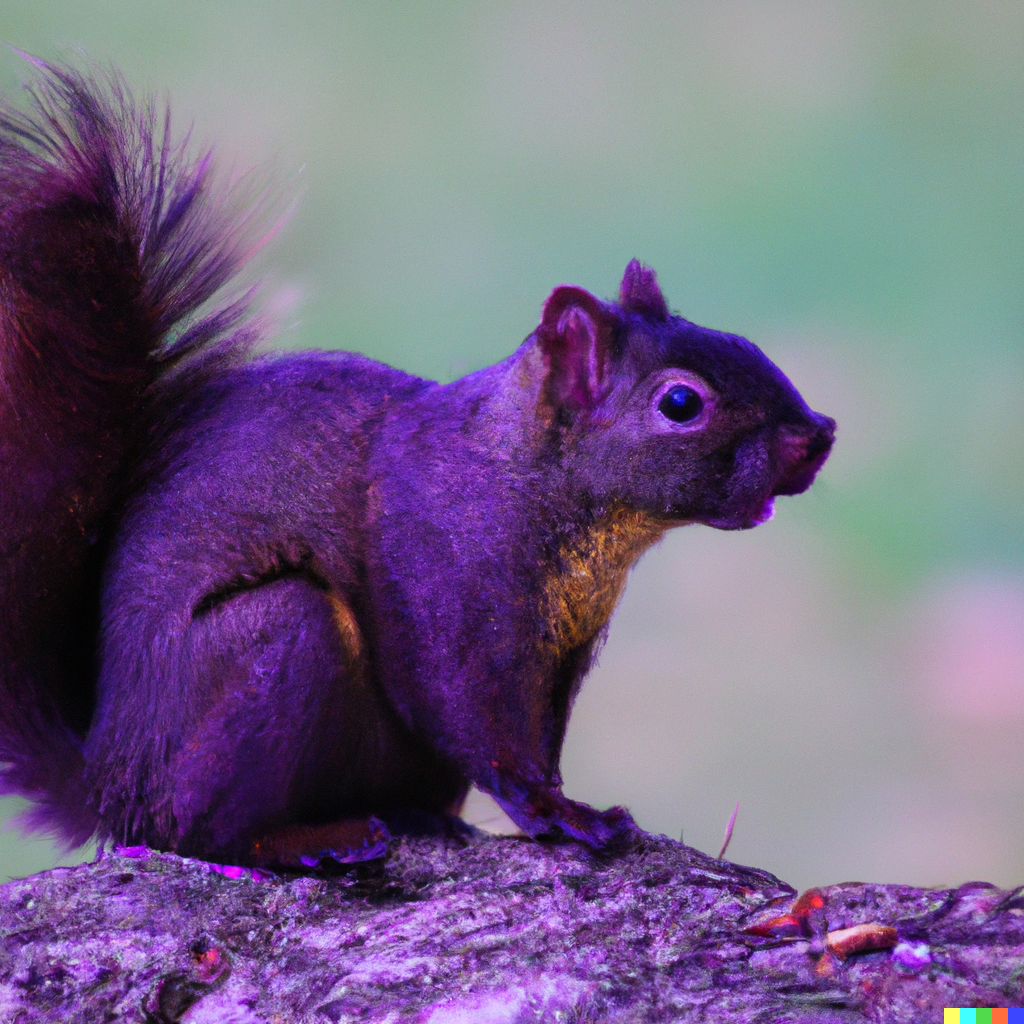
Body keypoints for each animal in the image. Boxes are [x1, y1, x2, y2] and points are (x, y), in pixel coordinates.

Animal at [0, 61, 834, 869]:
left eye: (739, 340)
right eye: (681, 403)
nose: (820, 435)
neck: (529, 483)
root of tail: (108, 782)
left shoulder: (564, 655)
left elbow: (540, 737)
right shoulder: (447, 591)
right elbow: (480, 726)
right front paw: (567, 818)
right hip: (279, 642)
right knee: (201, 829)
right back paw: (314, 843)